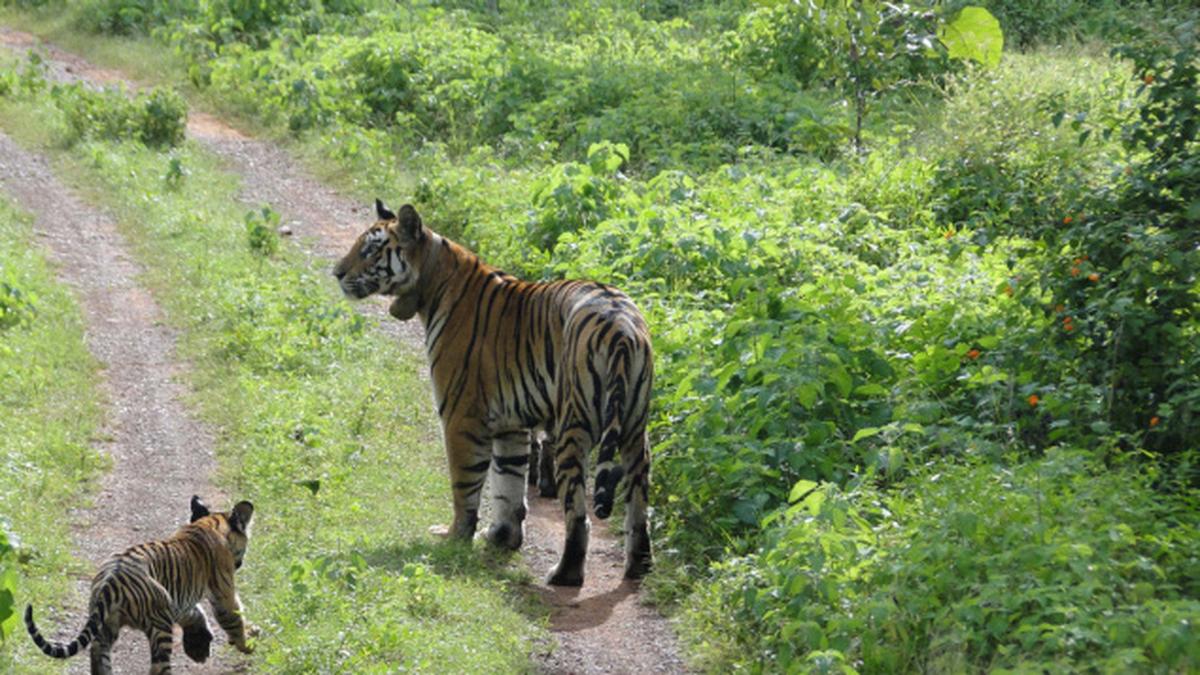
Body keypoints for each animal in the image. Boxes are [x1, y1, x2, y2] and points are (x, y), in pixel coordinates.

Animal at [25, 496, 256, 674]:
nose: (241, 563)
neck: (210, 523)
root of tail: (111, 580)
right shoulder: (221, 591)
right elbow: (233, 616)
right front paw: (248, 643)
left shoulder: (177, 600)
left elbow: (195, 613)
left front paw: (199, 645)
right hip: (160, 626)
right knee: (158, 667)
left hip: (105, 626)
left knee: (98, 654)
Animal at [334, 199, 653, 586]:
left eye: (369, 249)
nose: (336, 273)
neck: (432, 282)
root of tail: (620, 325)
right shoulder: (510, 423)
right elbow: (508, 482)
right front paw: (502, 537)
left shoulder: (461, 415)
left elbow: (465, 484)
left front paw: (455, 537)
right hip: (636, 429)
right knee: (639, 505)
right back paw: (638, 566)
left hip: (572, 428)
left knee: (578, 513)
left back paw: (565, 573)